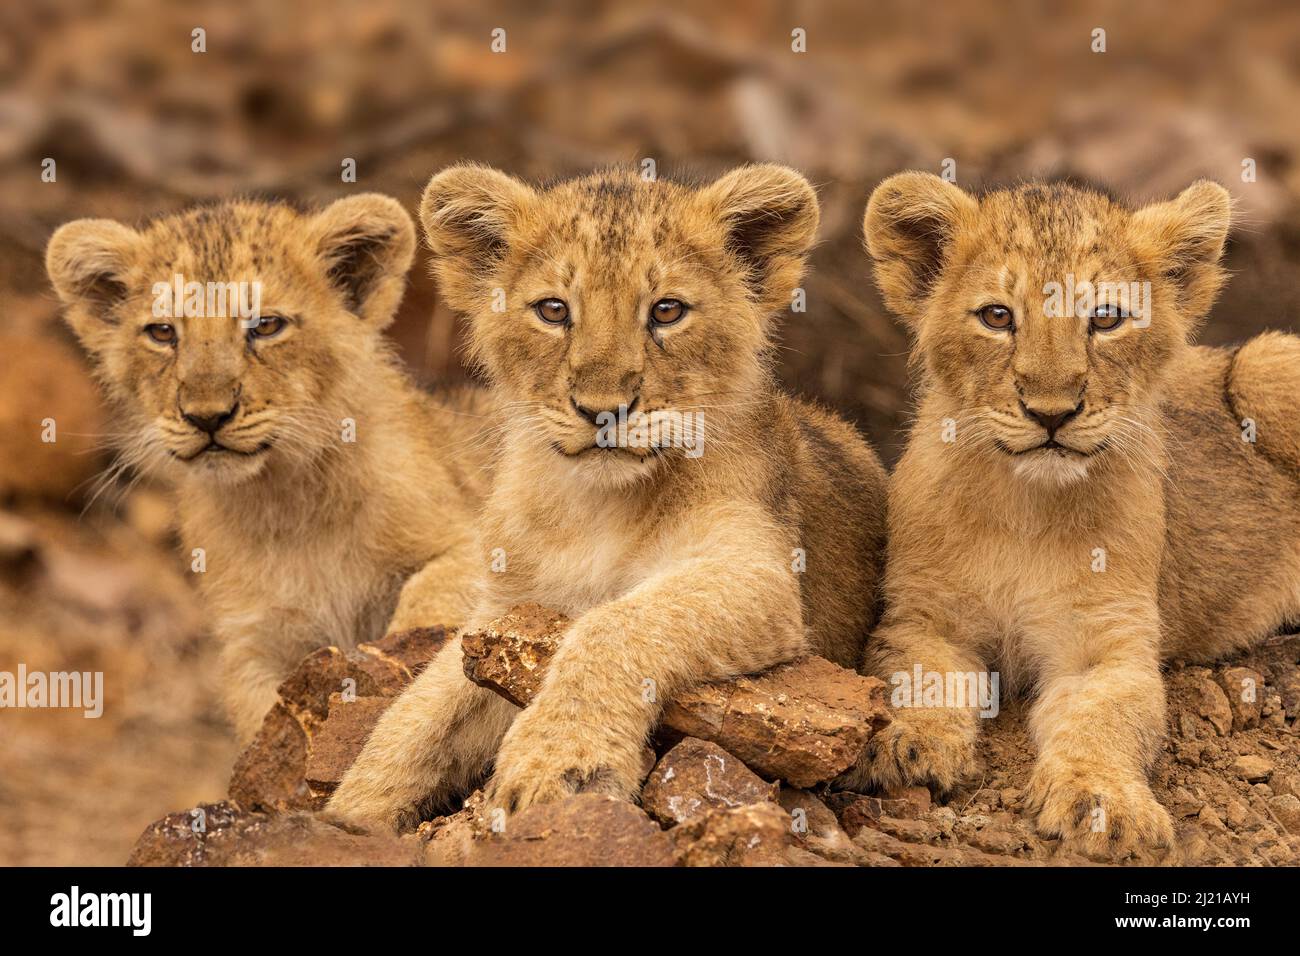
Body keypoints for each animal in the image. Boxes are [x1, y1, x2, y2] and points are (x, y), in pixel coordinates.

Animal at [45, 195, 493, 742]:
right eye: (162, 332)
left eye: (265, 325)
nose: (207, 416)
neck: (282, 501)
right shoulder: (253, 640)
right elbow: (261, 717)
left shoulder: (473, 538)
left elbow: (430, 594)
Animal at [324, 163, 889, 831]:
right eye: (553, 310)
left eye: (667, 310)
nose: (601, 410)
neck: (597, 505)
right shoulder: (504, 608)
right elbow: (419, 711)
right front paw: (346, 816)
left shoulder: (758, 574)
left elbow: (615, 622)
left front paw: (561, 763)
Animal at [844, 171, 1300, 857]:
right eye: (997, 316)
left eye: (1106, 318)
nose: (1051, 412)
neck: (1027, 506)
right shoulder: (923, 618)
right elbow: (918, 678)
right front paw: (907, 745)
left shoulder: (1107, 644)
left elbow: (1102, 722)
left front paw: (1101, 801)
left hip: (1266, 366)